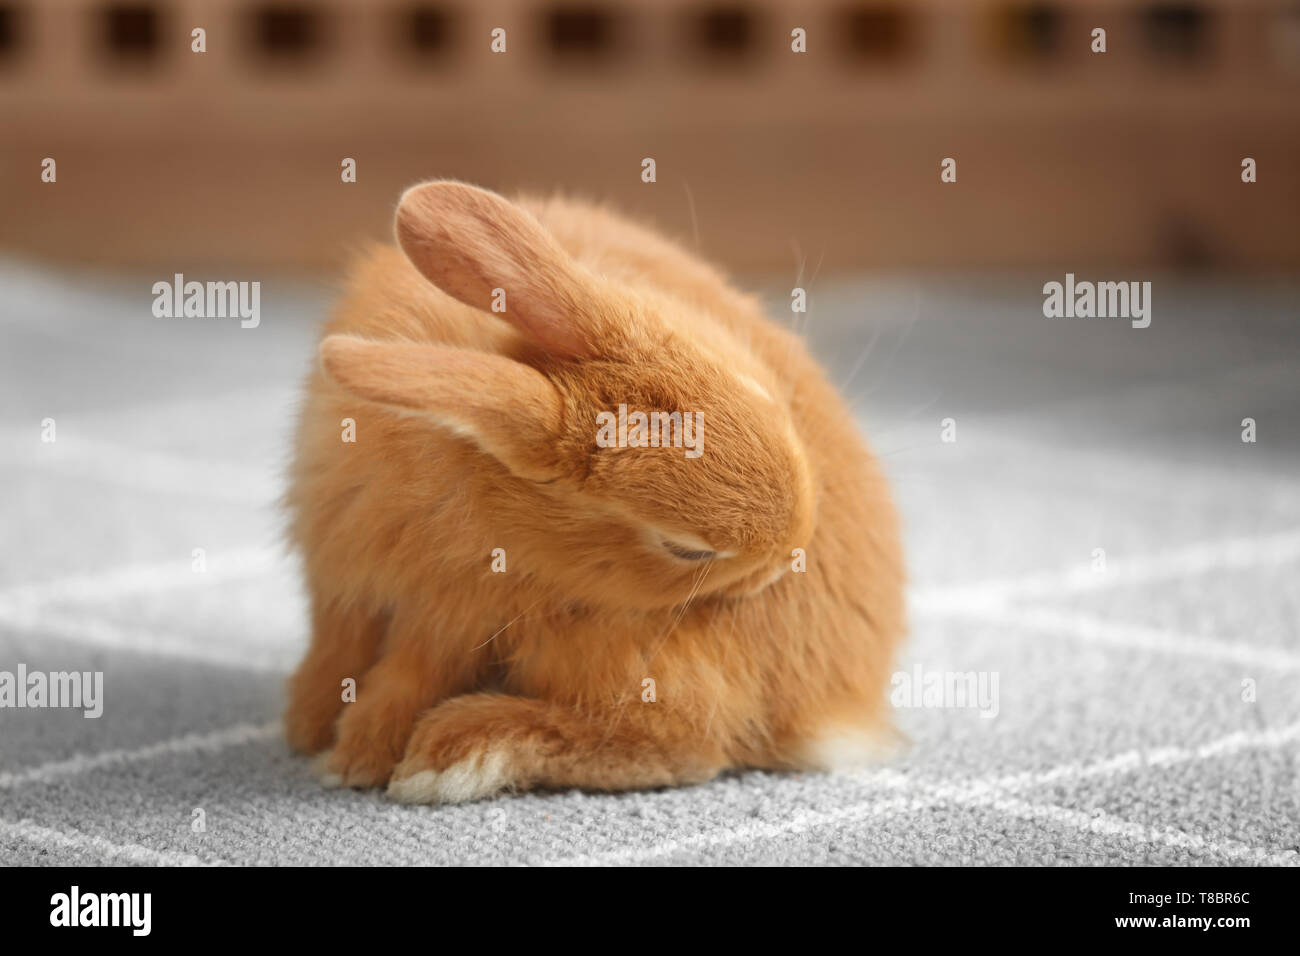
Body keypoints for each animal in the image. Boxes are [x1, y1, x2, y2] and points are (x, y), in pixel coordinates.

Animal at [283, 180, 905, 804]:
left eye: (759, 393)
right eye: (687, 550)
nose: (790, 555)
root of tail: (838, 706)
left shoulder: (454, 617)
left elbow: (408, 675)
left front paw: (356, 757)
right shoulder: (351, 586)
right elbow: (348, 653)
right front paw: (316, 732)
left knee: (678, 743)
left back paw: (454, 751)